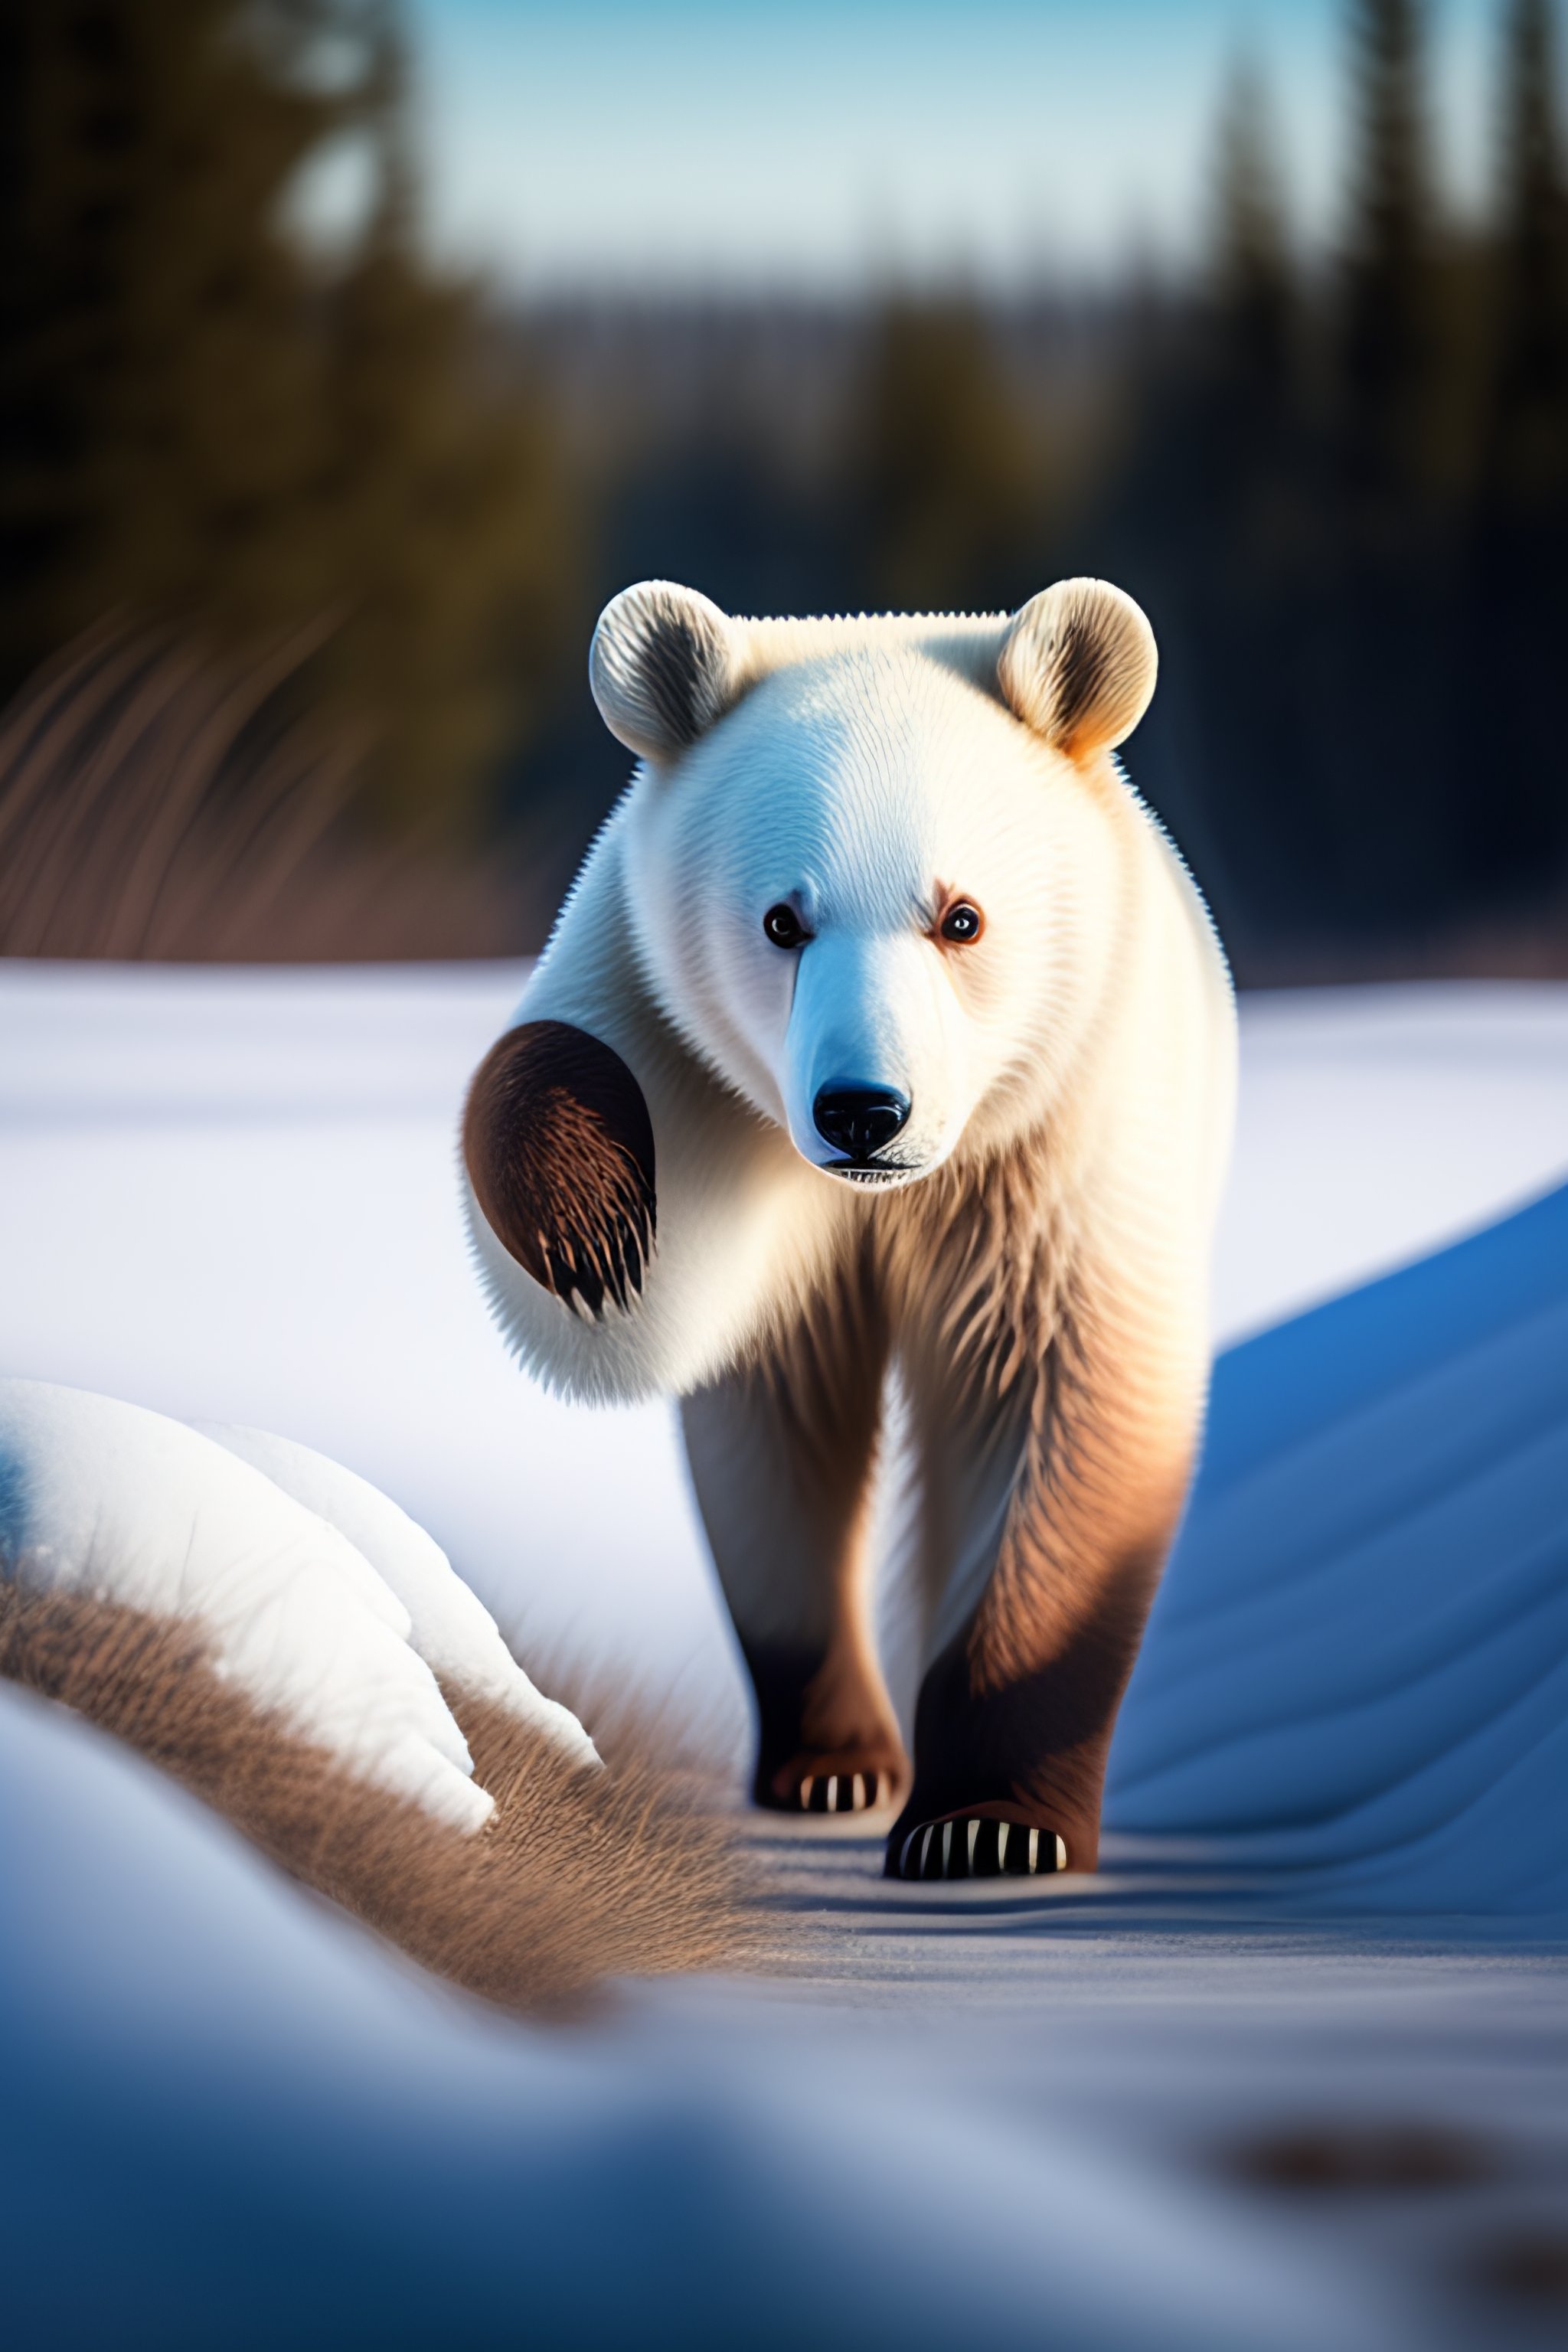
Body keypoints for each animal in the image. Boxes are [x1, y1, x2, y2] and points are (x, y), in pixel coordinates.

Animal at [463, 577, 1236, 1879]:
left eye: (962, 918)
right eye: (783, 921)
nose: (863, 1111)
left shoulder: (1067, 1124)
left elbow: (1061, 1401)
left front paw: (989, 1823)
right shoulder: (683, 1040)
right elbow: (648, 1308)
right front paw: (594, 1230)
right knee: (776, 1466)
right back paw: (832, 1759)